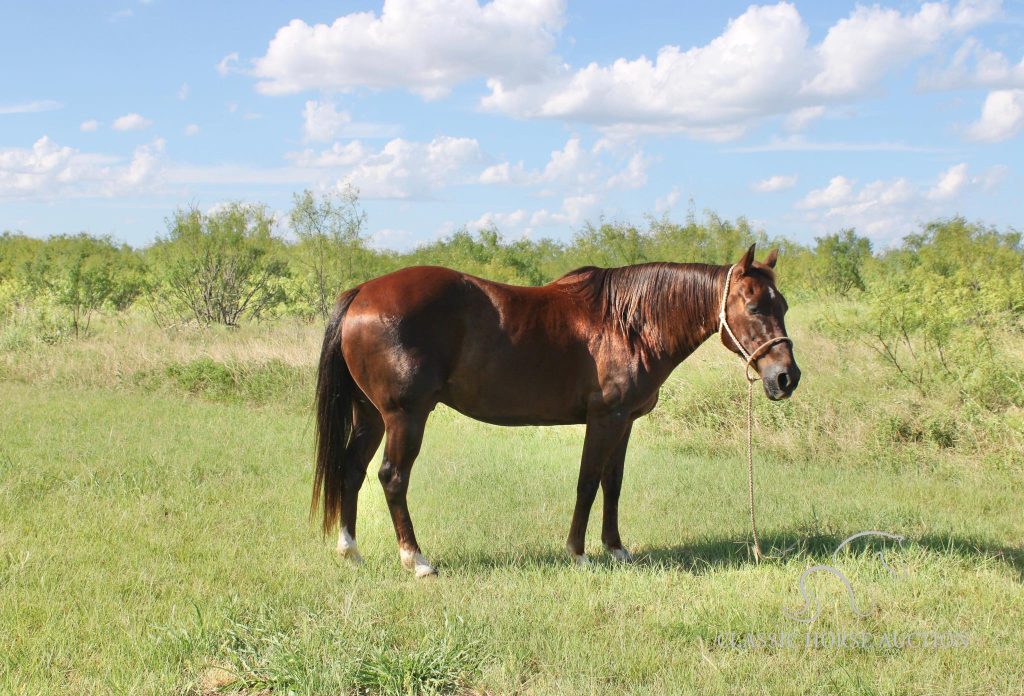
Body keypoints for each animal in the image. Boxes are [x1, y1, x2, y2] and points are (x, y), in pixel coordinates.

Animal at [312, 243, 800, 577]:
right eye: (754, 305)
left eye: (784, 304)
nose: (786, 377)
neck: (630, 323)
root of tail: (362, 292)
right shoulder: (604, 420)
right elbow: (588, 482)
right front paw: (578, 553)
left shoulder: (624, 423)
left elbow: (612, 484)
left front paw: (616, 548)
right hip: (405, 415)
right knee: (392, 477)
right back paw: (416, 559)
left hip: (371, 415)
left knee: (352, 469)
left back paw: (350, 551)